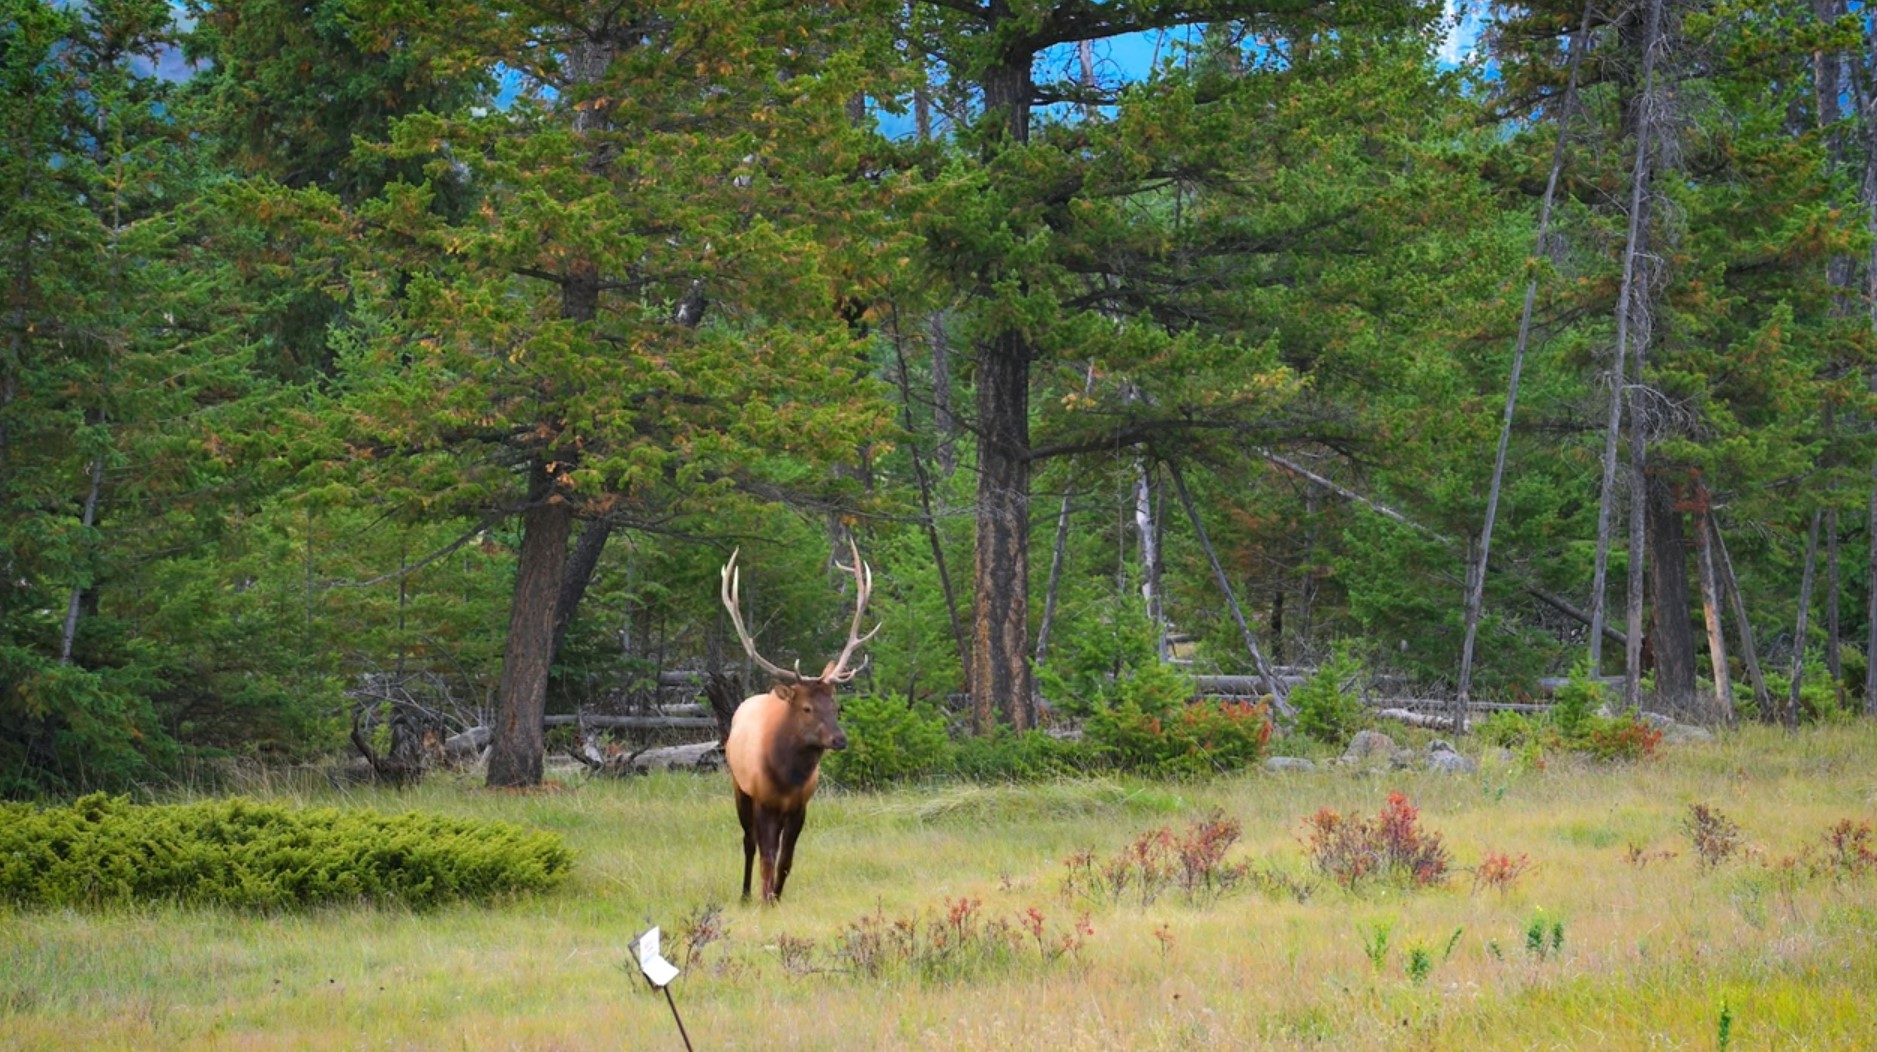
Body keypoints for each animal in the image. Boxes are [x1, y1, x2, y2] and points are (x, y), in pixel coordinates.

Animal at [719, 541, 879, 904]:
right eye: (806, 708)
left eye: (836, 706)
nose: (839, 739)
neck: (786, 777)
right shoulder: (763, 800)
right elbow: (766, 855)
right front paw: (764, 899)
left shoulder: (799, 806)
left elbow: (786, 859)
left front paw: (776, 897)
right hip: (738, 787)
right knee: (748, 842)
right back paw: (745, 894)